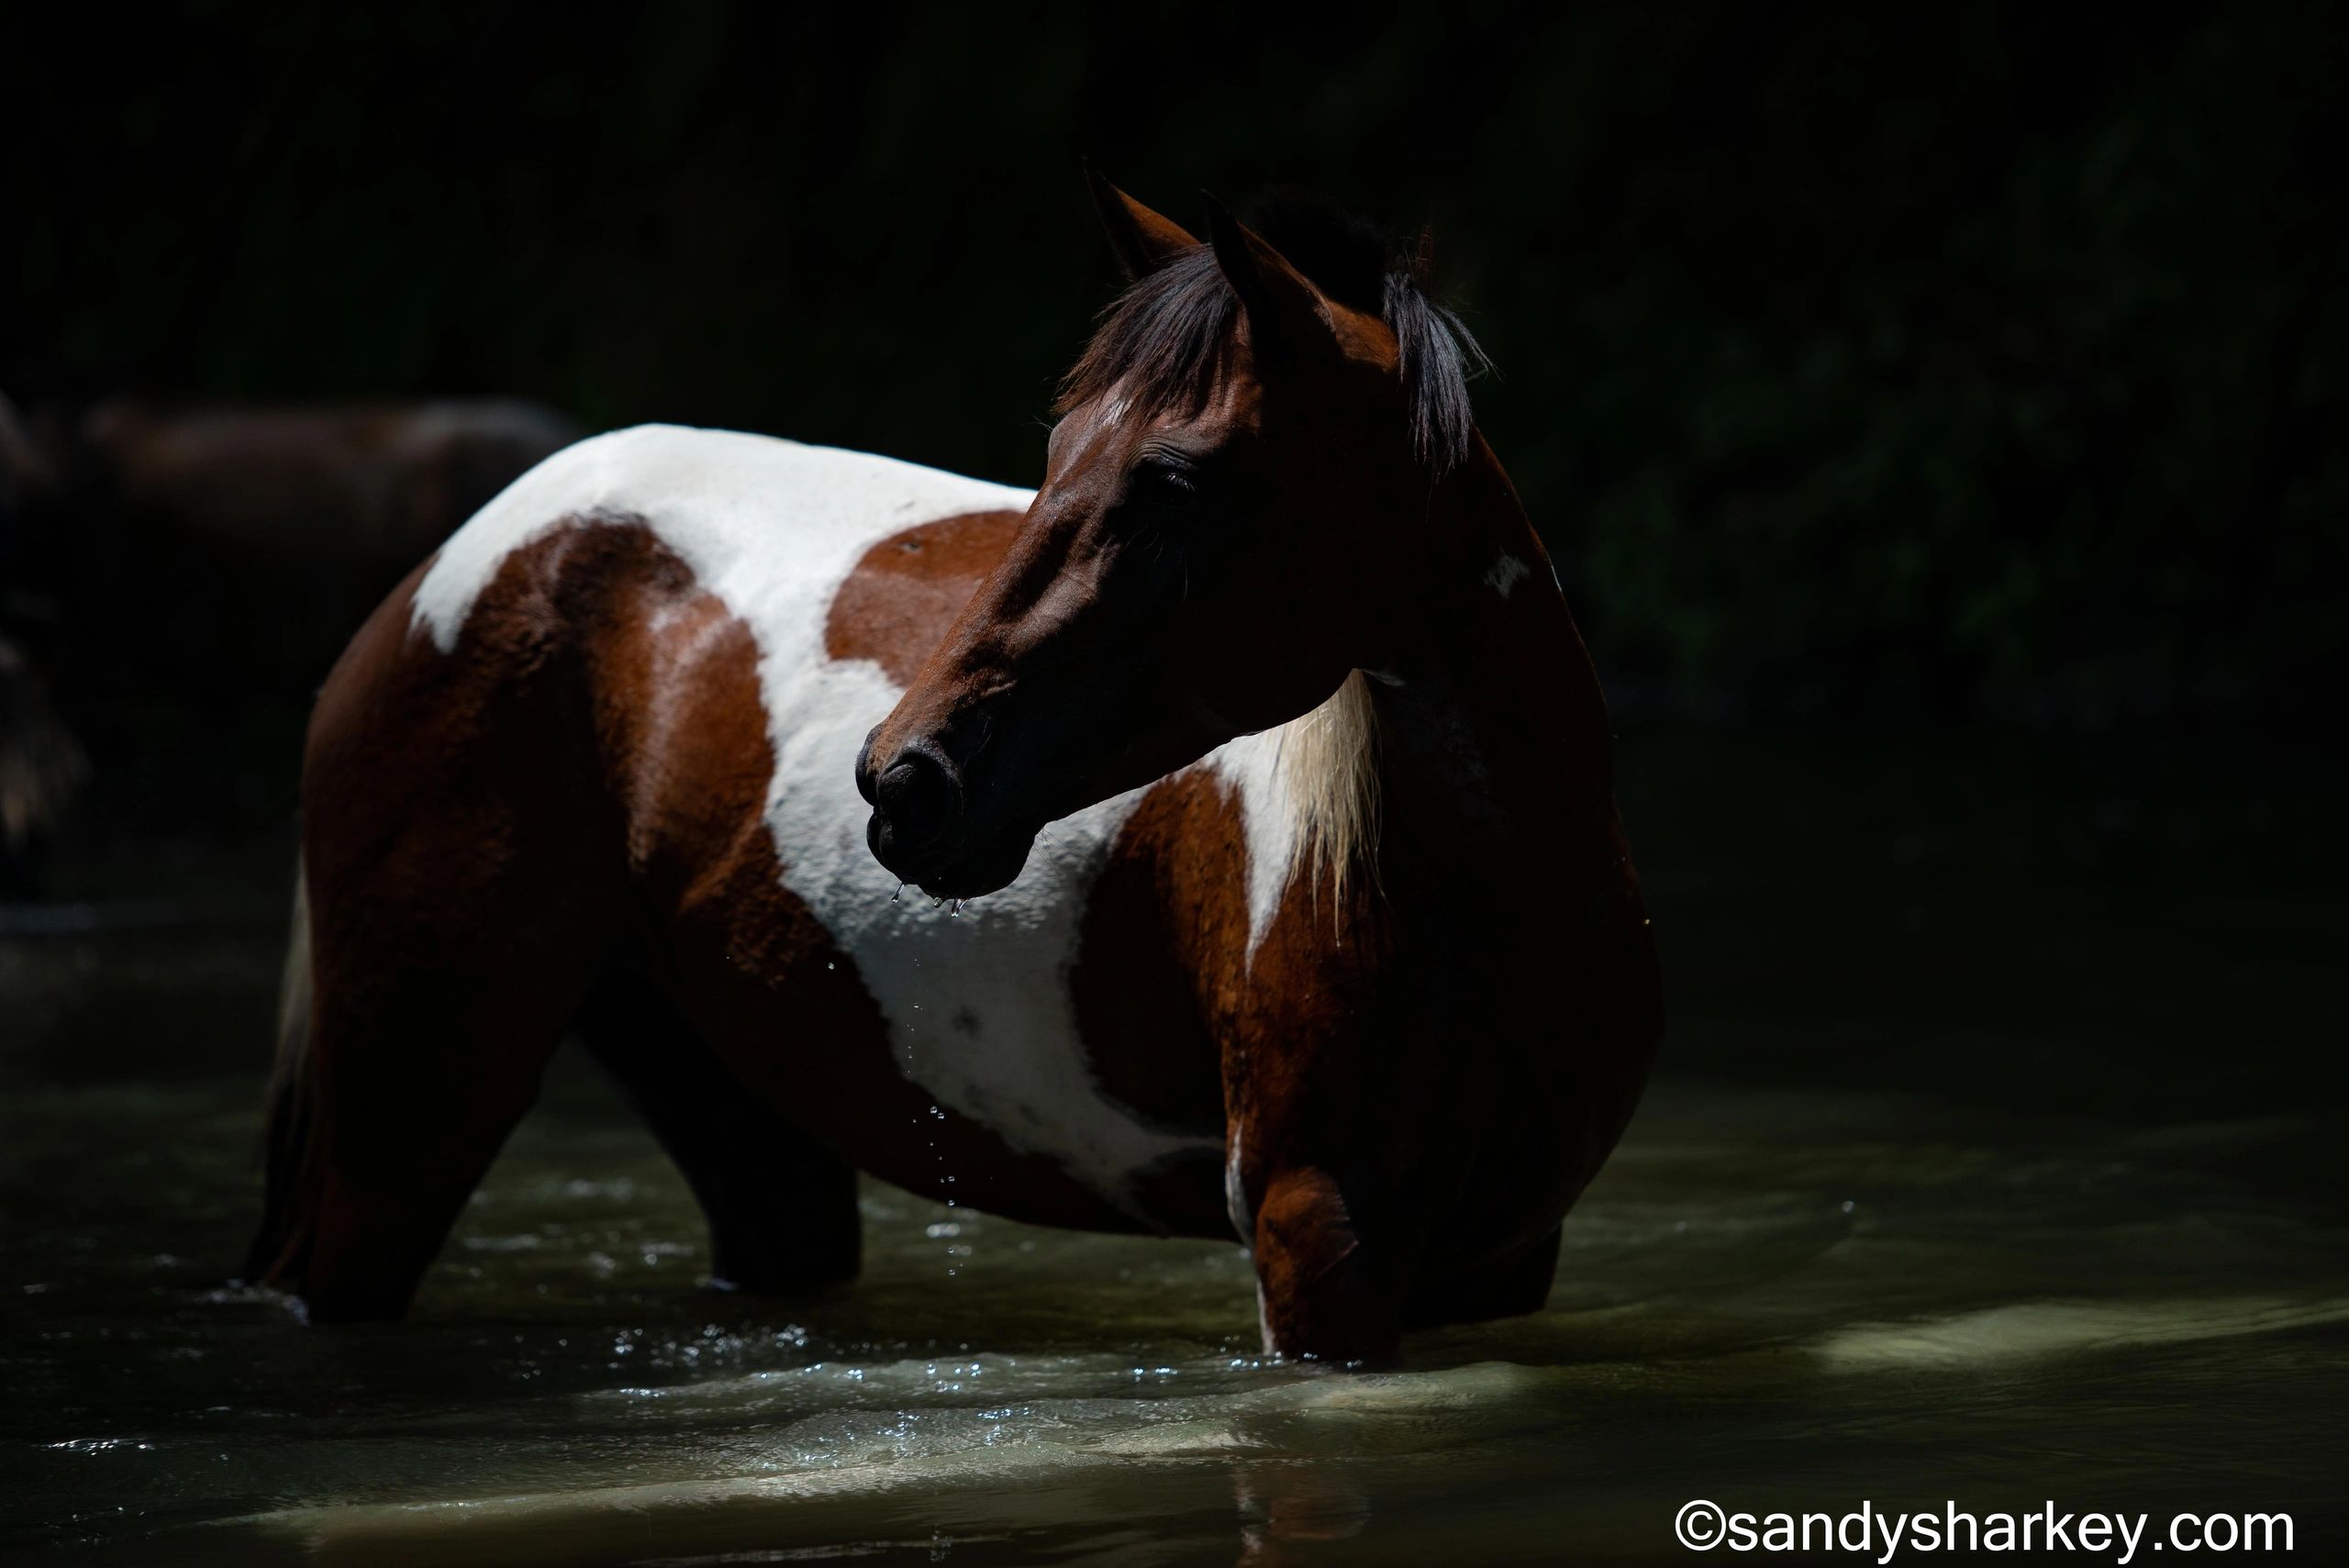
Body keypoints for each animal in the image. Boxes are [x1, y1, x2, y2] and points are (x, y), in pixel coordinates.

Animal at [245, 174, 1663, 1363]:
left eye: (1173, 481)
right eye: (1055, 452)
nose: (905, 782)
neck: (1475, 906)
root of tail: (461, 558)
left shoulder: (1494, 1258)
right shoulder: (1317, 1237)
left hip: (730, 1105)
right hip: (400, 1129)